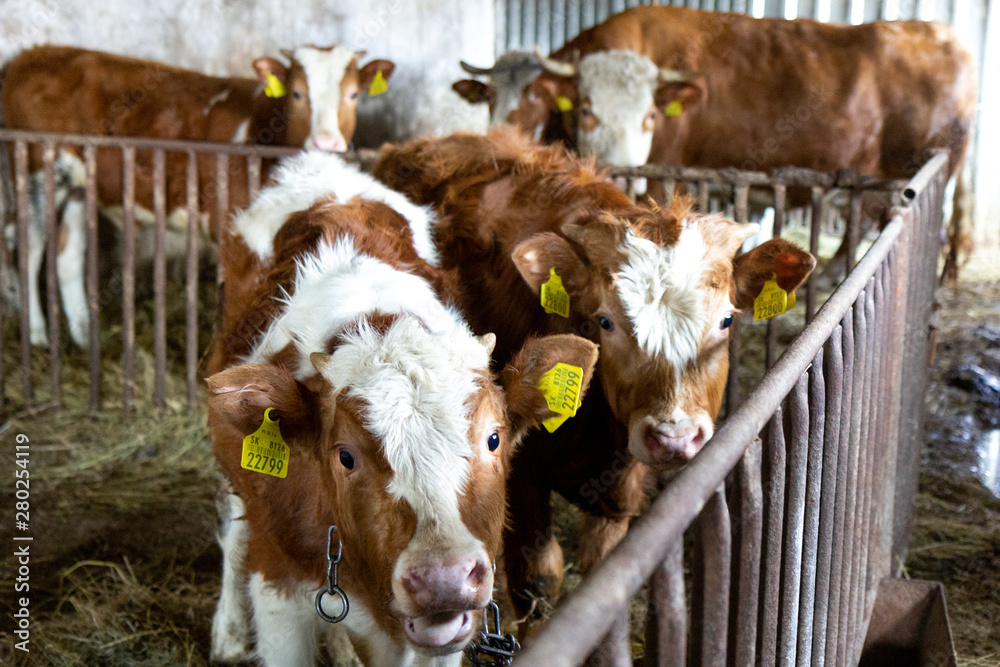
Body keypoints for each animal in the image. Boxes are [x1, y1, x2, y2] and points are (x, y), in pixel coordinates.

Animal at [1, 44, 395, 348]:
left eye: (353, 94)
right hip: (36, 172)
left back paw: (84, 335)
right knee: (29, 249)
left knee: (66, 256)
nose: (326, 142)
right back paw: (36, 333)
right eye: (297, 94)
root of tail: (32, 54)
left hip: (77, 185)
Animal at [206, 149, 599, 666]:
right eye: (345, 456)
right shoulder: (278, 589)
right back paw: (229, 634)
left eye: (494, 438)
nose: (442, 580)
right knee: (235, 533)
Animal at [373, 128, 816, 651]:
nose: (673, 437)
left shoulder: (620, 493)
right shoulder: (520, 476)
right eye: (606, 321)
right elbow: (538, 582)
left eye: (727, 319)